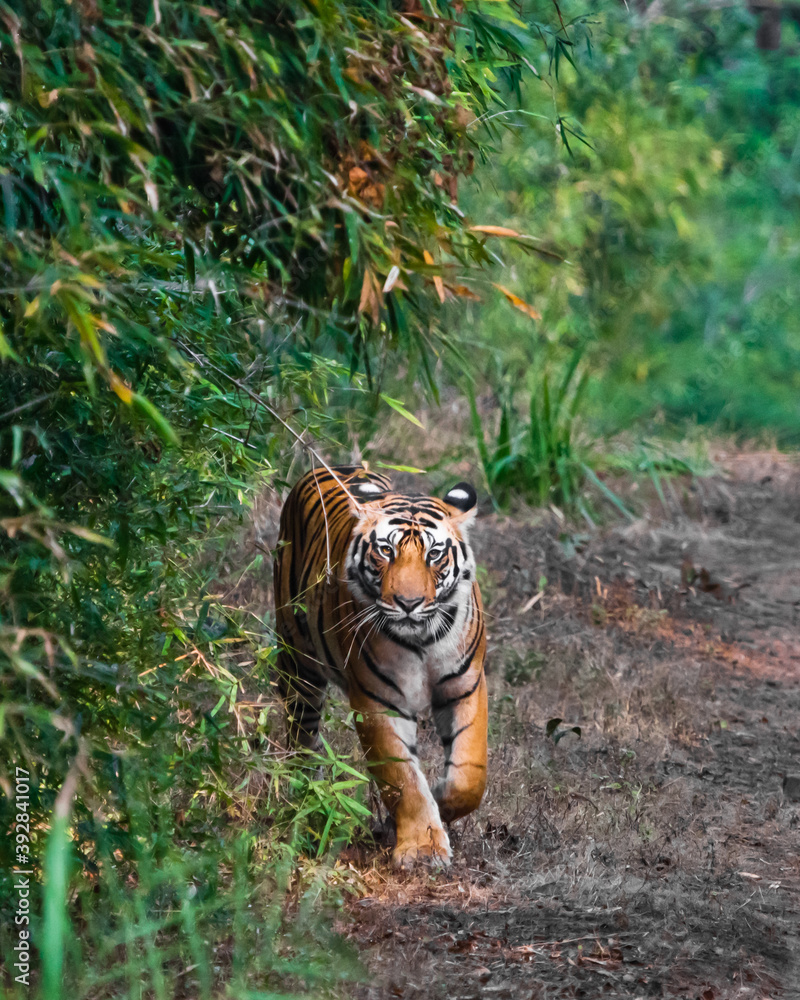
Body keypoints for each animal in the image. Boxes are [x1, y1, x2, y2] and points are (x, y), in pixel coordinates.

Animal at [273, 464, 487, 868]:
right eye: (386, 550)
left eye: (435, 554)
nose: (408, 602)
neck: (422, 639)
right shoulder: (377, 701)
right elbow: (403, 776)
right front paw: (422, 848)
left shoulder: (465, 685)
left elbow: (470, 776)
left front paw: (439, 802)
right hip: (298, 662)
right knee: (302, 734)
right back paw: (310, 794)